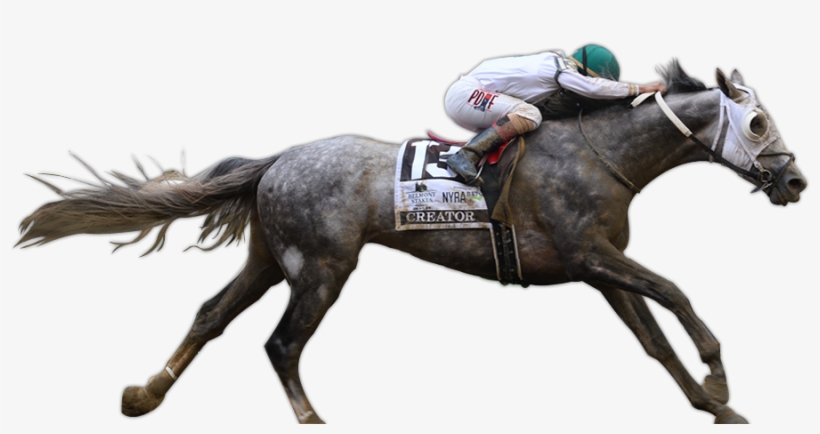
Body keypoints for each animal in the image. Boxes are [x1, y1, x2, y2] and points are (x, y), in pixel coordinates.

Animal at [16, 62, 807, 425]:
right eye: (758, 122)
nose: (796, 181)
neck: (599, 153)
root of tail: (277, 159)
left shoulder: (599, 268)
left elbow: (654, 340)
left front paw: (714, 406)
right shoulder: (591, 255)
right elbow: (676, 293)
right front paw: (719, 380)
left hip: (271, 258)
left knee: (212, 315)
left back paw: (144, 394)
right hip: (322, 267)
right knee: (281, 343)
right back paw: (311, 418)